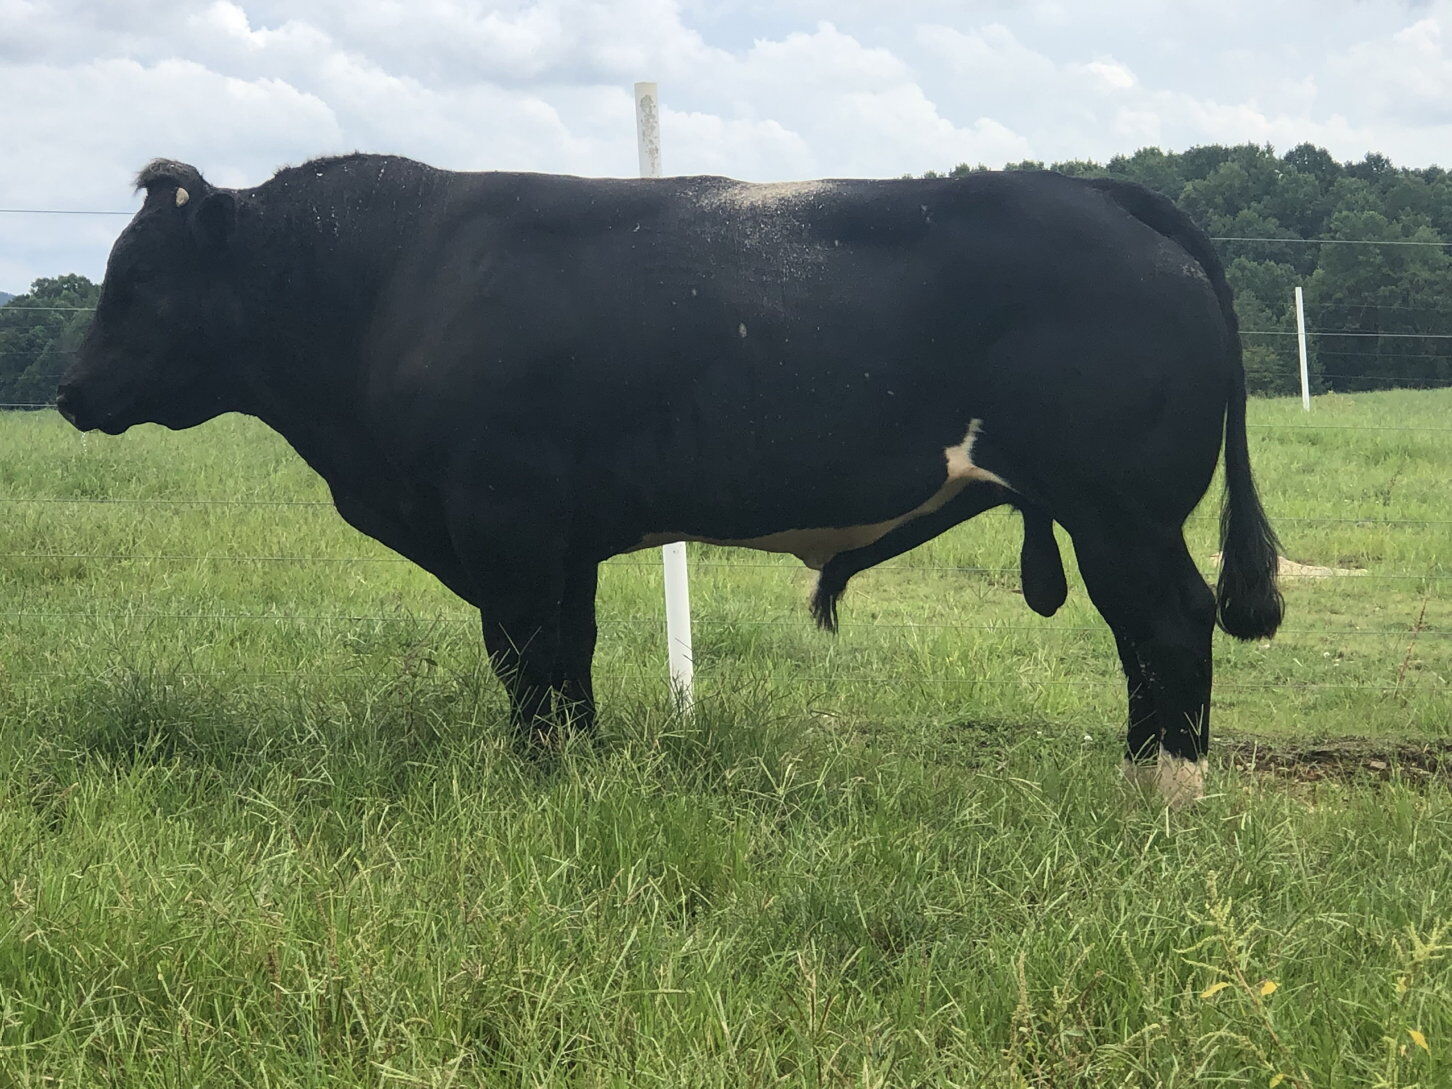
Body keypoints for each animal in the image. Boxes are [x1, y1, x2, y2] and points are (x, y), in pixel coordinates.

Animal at [57, 154, 1283, 806]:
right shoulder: (562, 540)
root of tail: (1102, 192)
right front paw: (577, 772)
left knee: (1169, 626)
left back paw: (1164, 796)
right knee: (1145, 641)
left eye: (136, 280)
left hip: (1124, 511)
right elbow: (569, 662)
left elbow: (525, 661)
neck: (390, 284)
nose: (69, 390)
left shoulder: (504, 526)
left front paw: (539, 784)